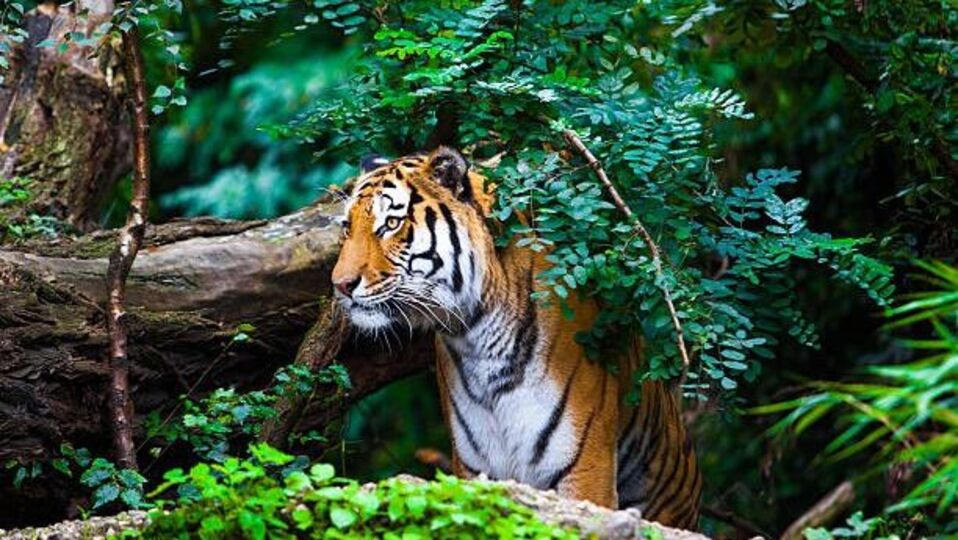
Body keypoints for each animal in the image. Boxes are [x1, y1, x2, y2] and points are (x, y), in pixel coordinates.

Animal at [331, 146, 701, 529]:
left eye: (391, 224)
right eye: (347, 227)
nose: (340, 285)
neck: (475, 337)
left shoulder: (585, 468)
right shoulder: (476, 468)